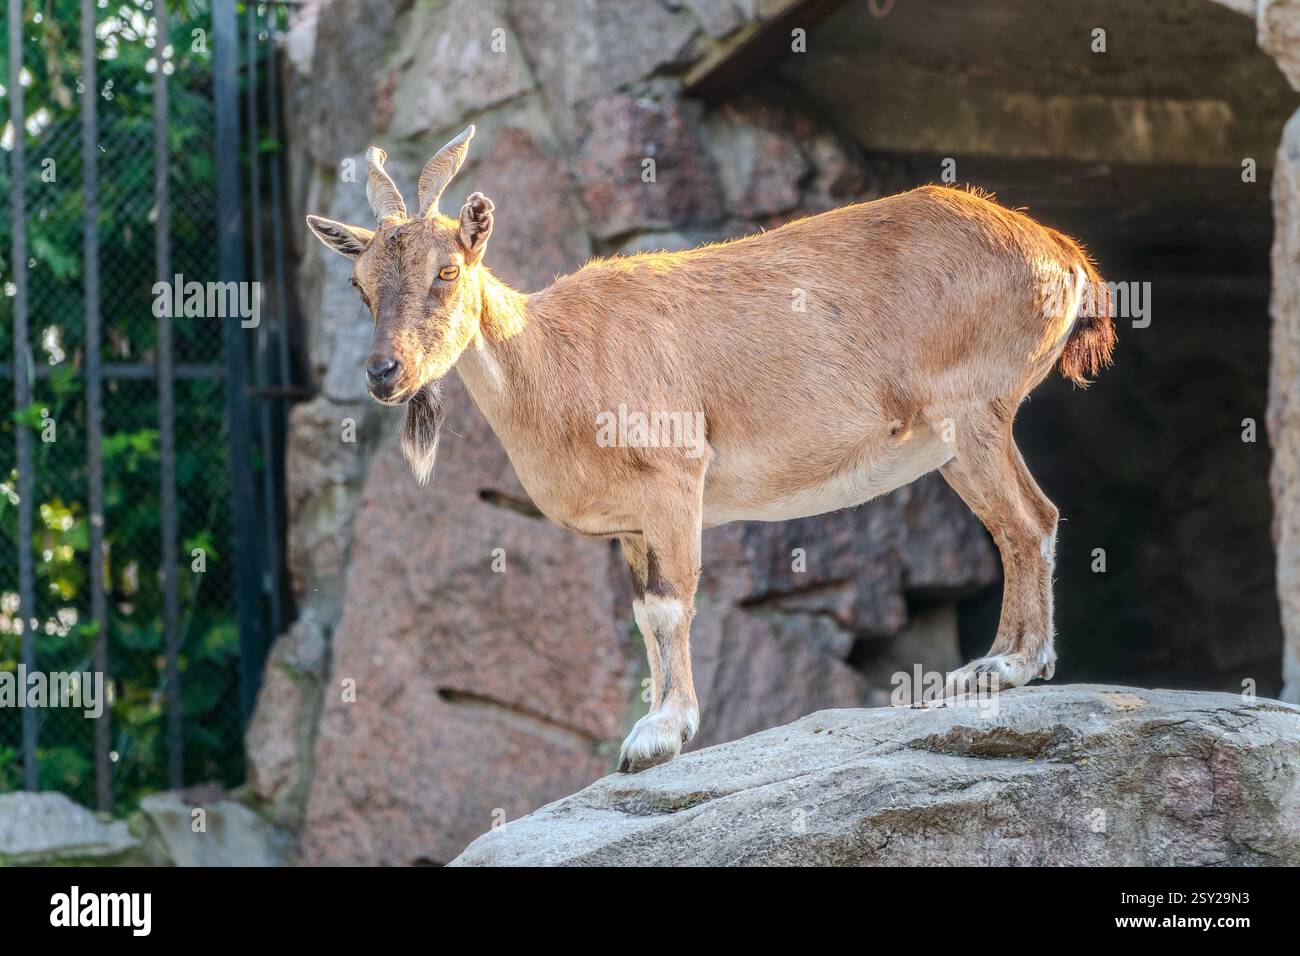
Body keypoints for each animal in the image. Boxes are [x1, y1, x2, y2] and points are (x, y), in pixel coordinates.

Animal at [306, 126, 1115, 773]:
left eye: (447, 269)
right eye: (359, 283)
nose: (385, 373)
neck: (558, 358)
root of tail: (1063, 256)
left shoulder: (675, 478)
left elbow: (672, 606)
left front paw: (659, 735)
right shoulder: (634, 523)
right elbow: (645, 614)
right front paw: (656, 725)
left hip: (970, 413)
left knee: (1027, 521)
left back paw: (1005, 666)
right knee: (1024, 521)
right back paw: (1004, 663)